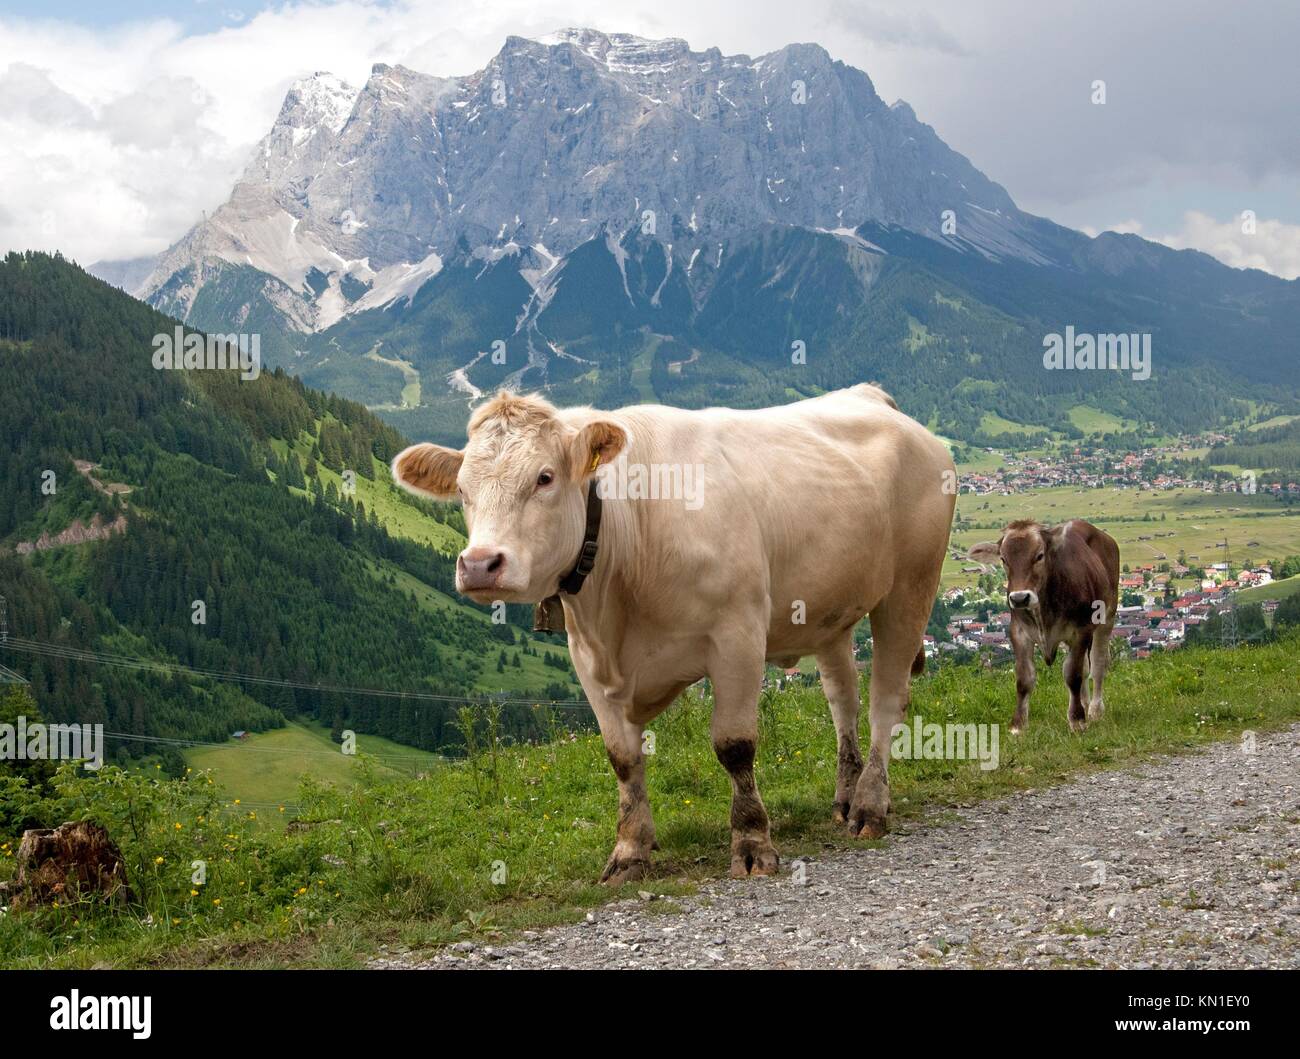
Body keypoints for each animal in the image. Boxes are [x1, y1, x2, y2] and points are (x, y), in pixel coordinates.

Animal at [391, 384, 955, 883]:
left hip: (911, 586)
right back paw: (844, 796)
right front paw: (629, 852)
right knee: (843, 699)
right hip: (831, 613)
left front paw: (752, 844)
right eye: (461, 489)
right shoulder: (586, 658)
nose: (479, 565)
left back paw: (870, 806)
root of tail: (873, 397)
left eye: (544, 477)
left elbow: (734, 746)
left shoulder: (737, 636)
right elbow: (623, 759)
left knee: (886, 699)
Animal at [966, 519, 1120, 735]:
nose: (1019, 598)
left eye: (1039, 555)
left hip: (1107, 616)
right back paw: (1084, 703)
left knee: (1097, 664)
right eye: (1004, 559)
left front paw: (1077, 720)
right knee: (1084, 667)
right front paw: (1018, 725)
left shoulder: (1081, 630)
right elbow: (1024, 679)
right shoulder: (1019, 632)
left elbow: (1073, 674)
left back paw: (1095, 710)